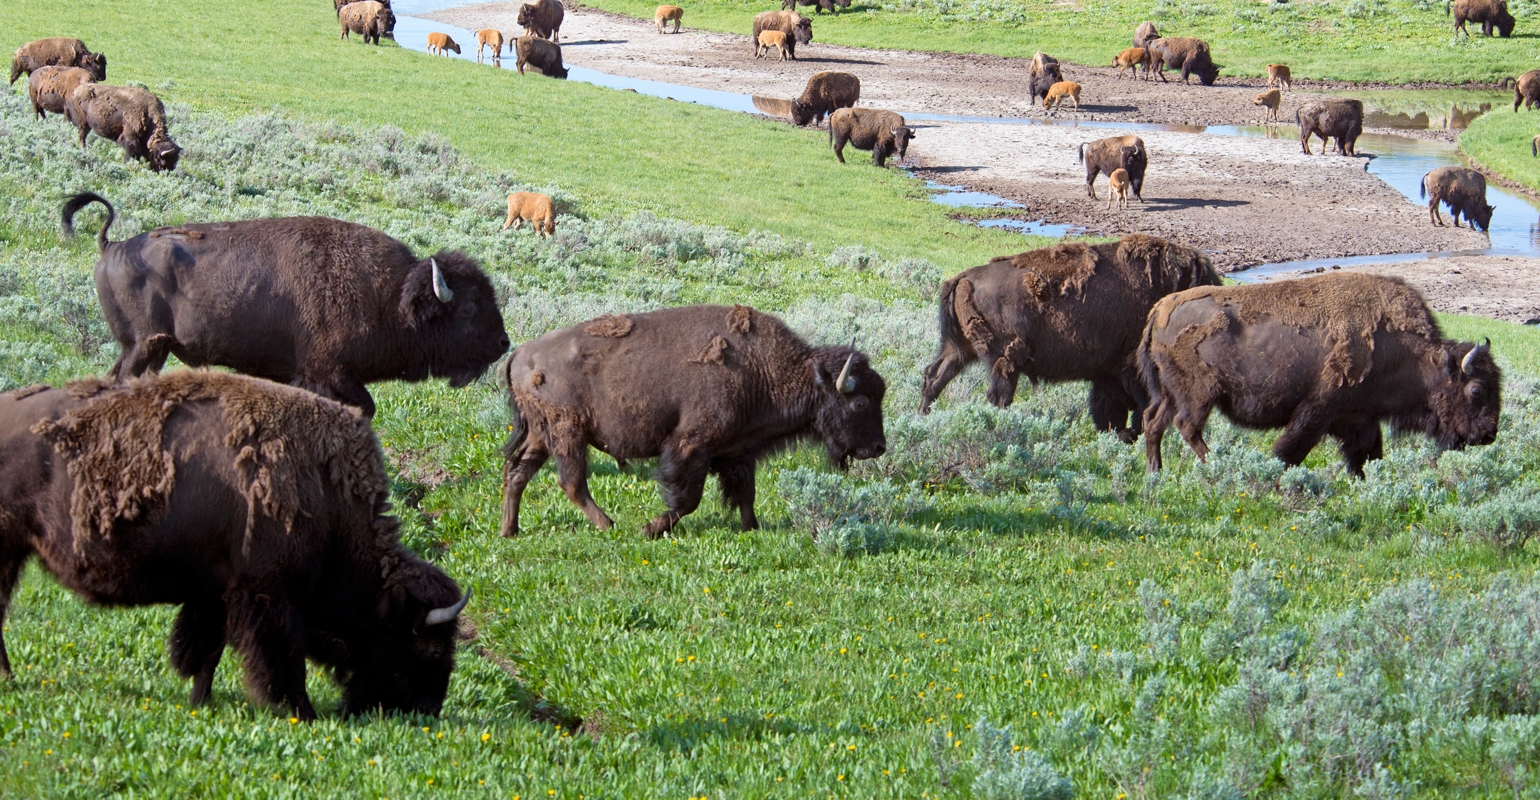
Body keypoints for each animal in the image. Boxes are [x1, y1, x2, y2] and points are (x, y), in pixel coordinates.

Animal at [0, 371, 470, 719]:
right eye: (430, 647)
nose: (428, 710)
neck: (327, 496)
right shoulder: (269, 596)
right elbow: (283, 659)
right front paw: (300, 711)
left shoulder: (216, 594)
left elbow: (207, 651)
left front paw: (200, 701)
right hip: (7, 551)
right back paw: (9, 680)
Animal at [64, 193, 510, 417]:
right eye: (468, 309)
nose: (503, 343)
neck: (390, 295)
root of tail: (112, 246)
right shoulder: (327, 371)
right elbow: (362, 408)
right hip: (145, 345)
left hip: (150, 349)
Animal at [501, 304, 887, 538]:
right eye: (860, 402)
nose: (878, 447)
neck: (767, 371)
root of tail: (520, 353)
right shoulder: (691, 446)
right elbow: (688, 499)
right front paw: (651, 528)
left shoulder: (738, 453)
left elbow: (746, 494)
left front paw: (752, 528)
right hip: (568, 433)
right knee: (571, 481)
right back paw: (609, 523)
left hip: (542, 435)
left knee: (518, 473)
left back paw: (510, 530)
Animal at [919, 235, 1219, 442]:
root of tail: (962, 278)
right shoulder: (1130, 372)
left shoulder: (1109, 374)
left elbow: (1110, 409)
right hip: (1003, 361)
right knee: (997, 395)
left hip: (959, 350)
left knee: (934, 377)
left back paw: (922, 416)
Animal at [1140, 273, 1501, 476]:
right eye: (1476, 390)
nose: (1488, 435)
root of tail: (1159, 309)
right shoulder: (1317, 411)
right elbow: (1290, 451)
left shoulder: (1360, 419)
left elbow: (1367, 456)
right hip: (1198, 395)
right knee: (1186, 426)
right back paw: (1215, 465)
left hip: (1172, 394)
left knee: (1153, 422)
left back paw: (1156, 473)